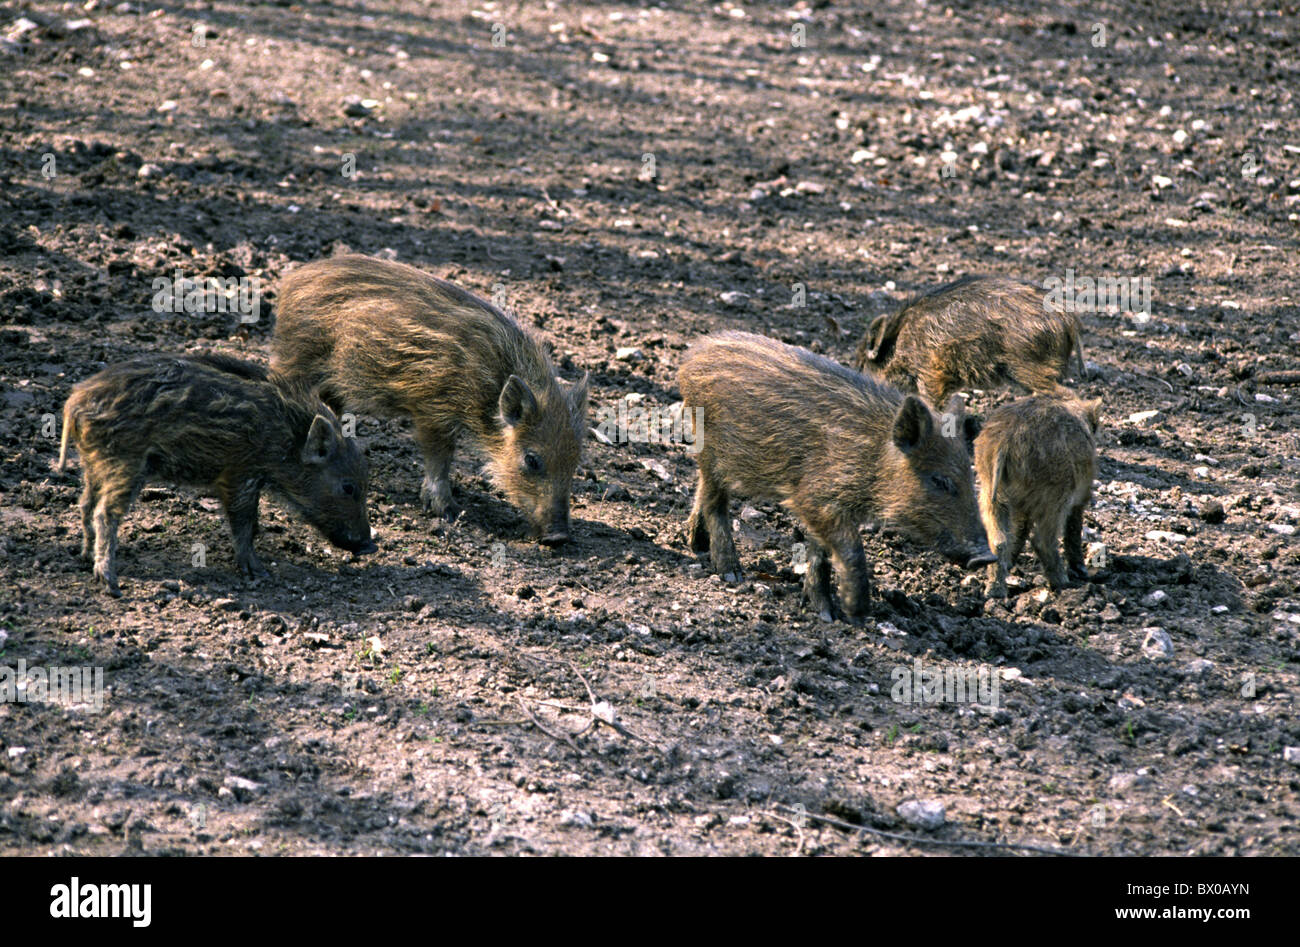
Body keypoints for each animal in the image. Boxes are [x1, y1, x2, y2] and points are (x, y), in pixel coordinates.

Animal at [57, 353, 375, 596]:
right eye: (348, 487)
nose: (370, 546)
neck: (287, 438)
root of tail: (74, 402)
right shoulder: (240, 474)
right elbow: (244, 523)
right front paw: (257, 571)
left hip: (93, 463)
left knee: (85, 504)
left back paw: (85, 557)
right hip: (123, 464)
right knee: (104, 513)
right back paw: (109, 582)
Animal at [270, 255, 589, 546]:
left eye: (575, 460)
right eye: (532, 460)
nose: (559, 536)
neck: (489, 382)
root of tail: (290, 282)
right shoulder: (431, 408)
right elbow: (440, 456)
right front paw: (446, 511)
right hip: (295, 360)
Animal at [678, 331, 996, 622]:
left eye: (970, 480)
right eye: (939, 480)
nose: (986, 556)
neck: (873, 459)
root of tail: (691, 356)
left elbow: (821, 555)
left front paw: (824, 613)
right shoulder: (813, 498)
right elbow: (851, 550)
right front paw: (856, 614)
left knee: (701, 489)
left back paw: (697, 545)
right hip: (714, 452)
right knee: (714, 501)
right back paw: (731, 573)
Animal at [852, 275, 1085, 407]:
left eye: (862, 366)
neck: (900, 344)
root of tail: (1069, 319)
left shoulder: (931, 373)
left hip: (1030, 366)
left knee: (1067, 395)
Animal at [974, 393, 1101, 598]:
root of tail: (1004, 442)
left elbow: (1019, 530)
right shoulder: (1081, 494)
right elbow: (1073, 529)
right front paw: (1081, 572)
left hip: (990, 488)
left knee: (998, 539)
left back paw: (994, 593)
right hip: (1057, 492)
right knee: (1042, 539)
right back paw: (1064, 584)